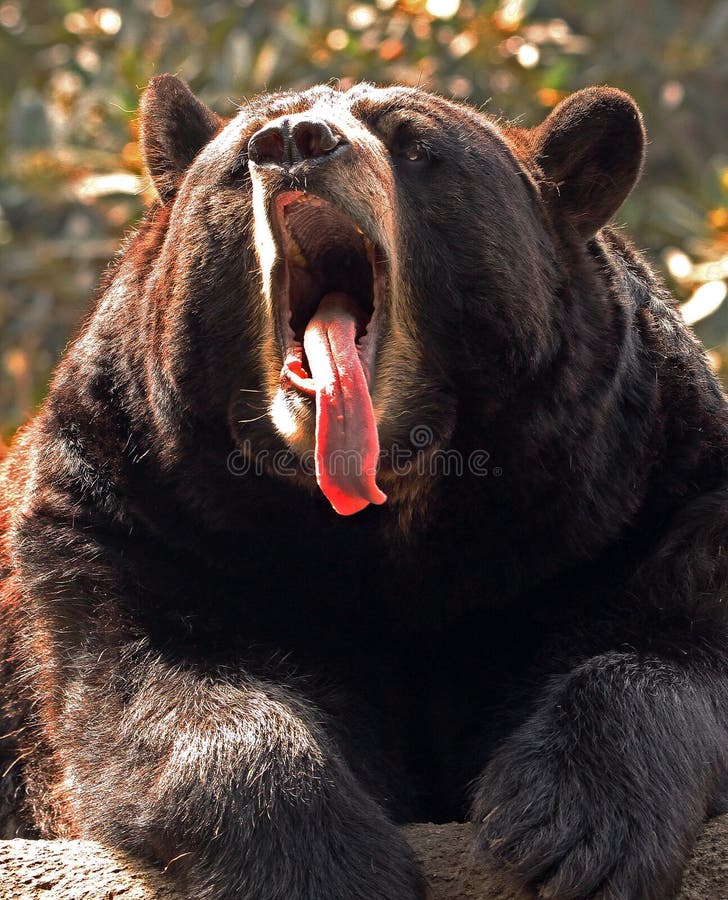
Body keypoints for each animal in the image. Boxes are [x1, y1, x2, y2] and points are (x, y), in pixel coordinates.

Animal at [1, 73, 727, 900]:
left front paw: (568, 832)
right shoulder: (133, 509)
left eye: (413, 146)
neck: (386, 504)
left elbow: (667, 638)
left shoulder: (636, 495)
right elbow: (157, 678)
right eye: (239, 159)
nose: (293, 141)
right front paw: (324, 863)